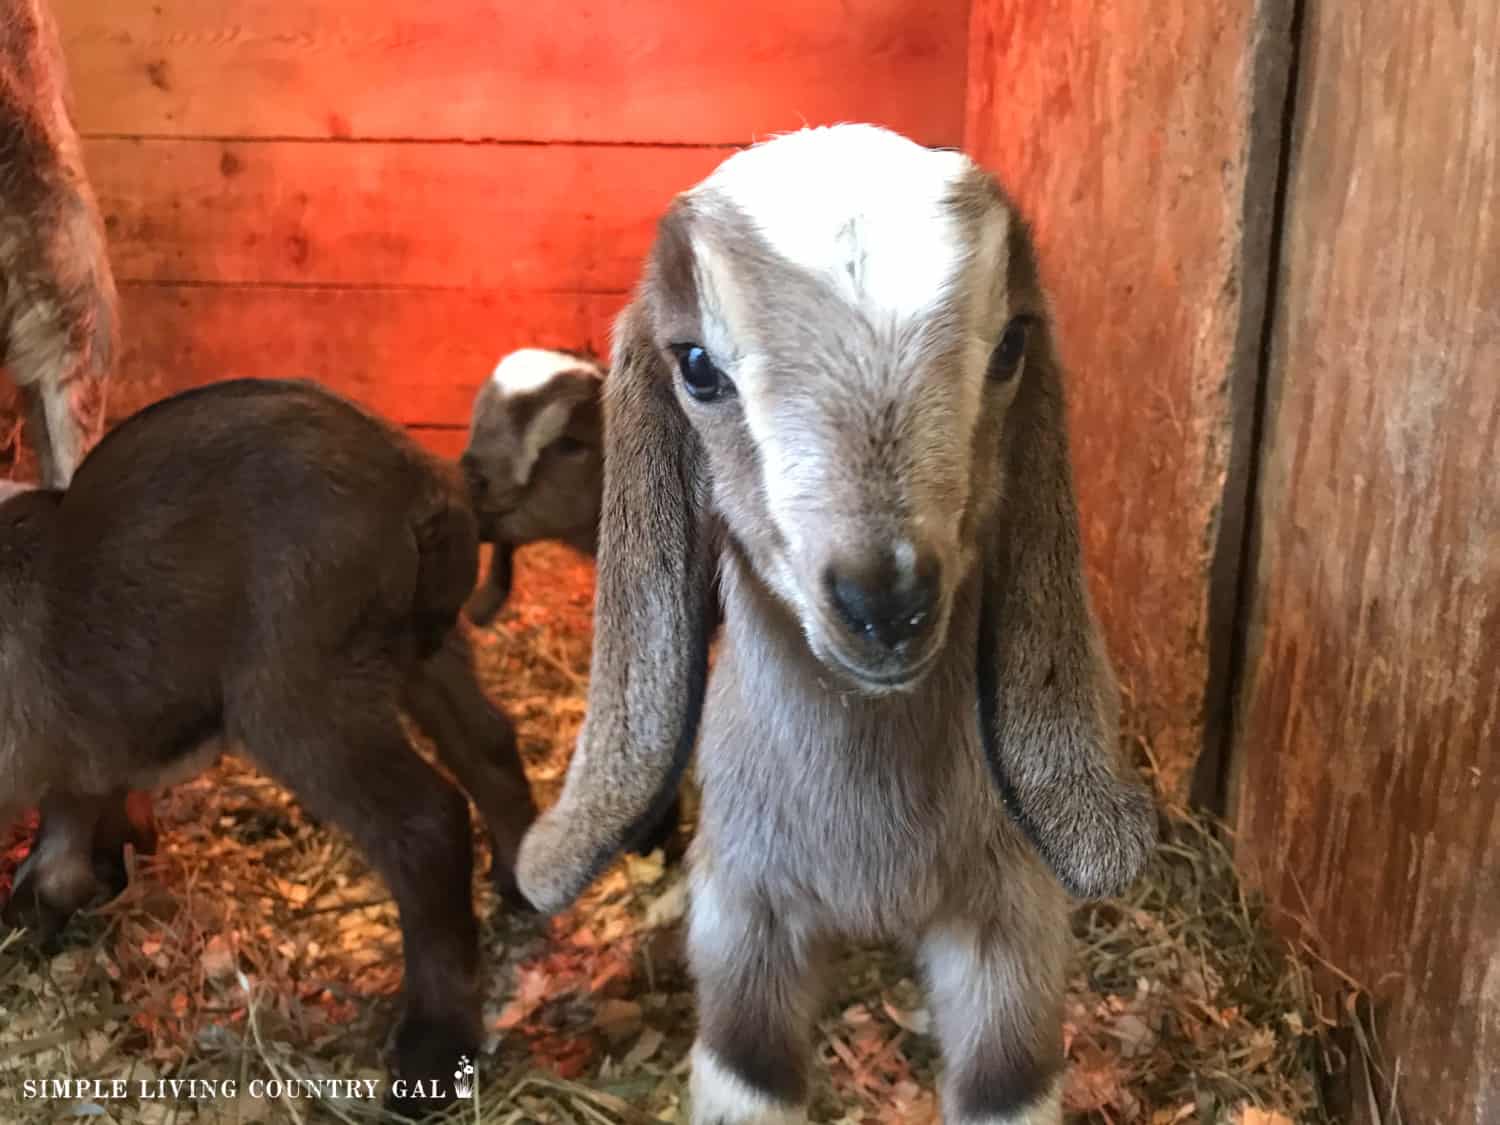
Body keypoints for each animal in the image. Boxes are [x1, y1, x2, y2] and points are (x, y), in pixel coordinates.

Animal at [0, 378, 537, 1114]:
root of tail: (416, 481)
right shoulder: (87, 748)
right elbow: (62, 849)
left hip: (296, 694)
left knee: (426, 824)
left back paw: (431, 1049)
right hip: (418, 655)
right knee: (487, 743)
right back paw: (521, 882)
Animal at [514, 125, 1158, 1124]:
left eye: (1009, 345)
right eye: (697, 366)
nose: (886, 601)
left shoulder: (1011, 917)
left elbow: (1009, 1076)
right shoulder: (747, 918)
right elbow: (746, 1063)